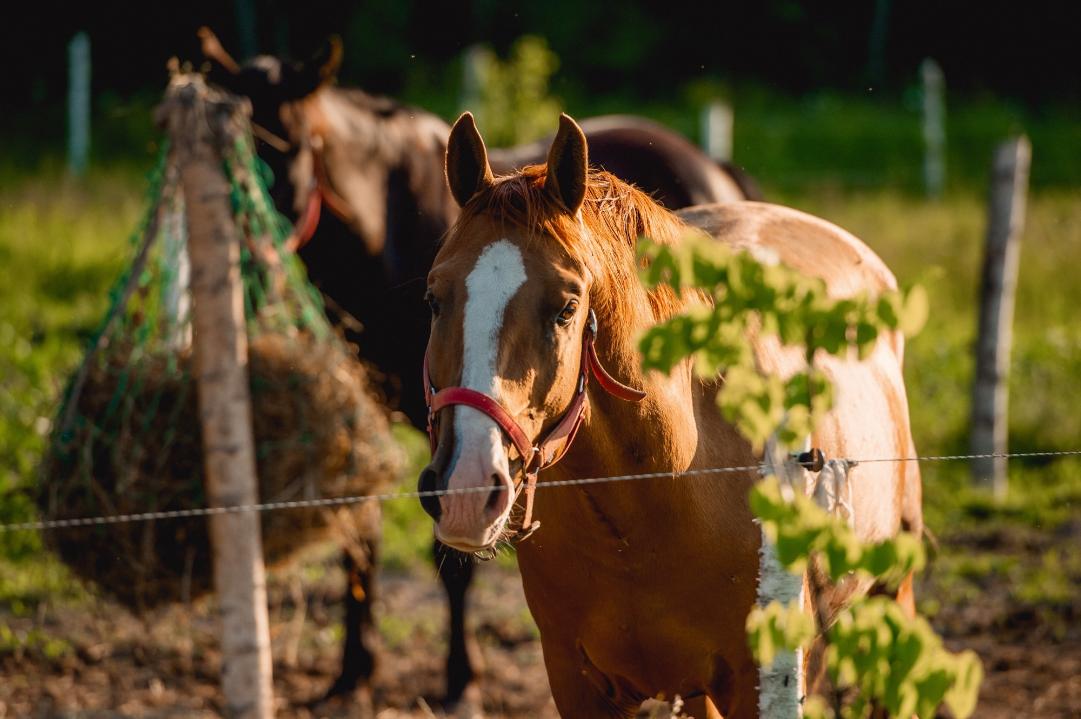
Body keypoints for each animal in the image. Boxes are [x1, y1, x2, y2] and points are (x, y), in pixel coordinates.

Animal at [201, 26, 761, 704]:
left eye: (290, 152)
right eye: (230, 151)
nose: (247, 266)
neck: (386, 225)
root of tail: (711, 165)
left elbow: (453, 565)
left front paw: (459, 679)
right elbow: (361, 539)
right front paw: (354, 671)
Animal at [419, 112, 921, 713]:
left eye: (566, 307)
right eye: (433, 299)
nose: (465, 488)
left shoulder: (757, 681)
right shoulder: (579, 684)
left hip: (892, 591)